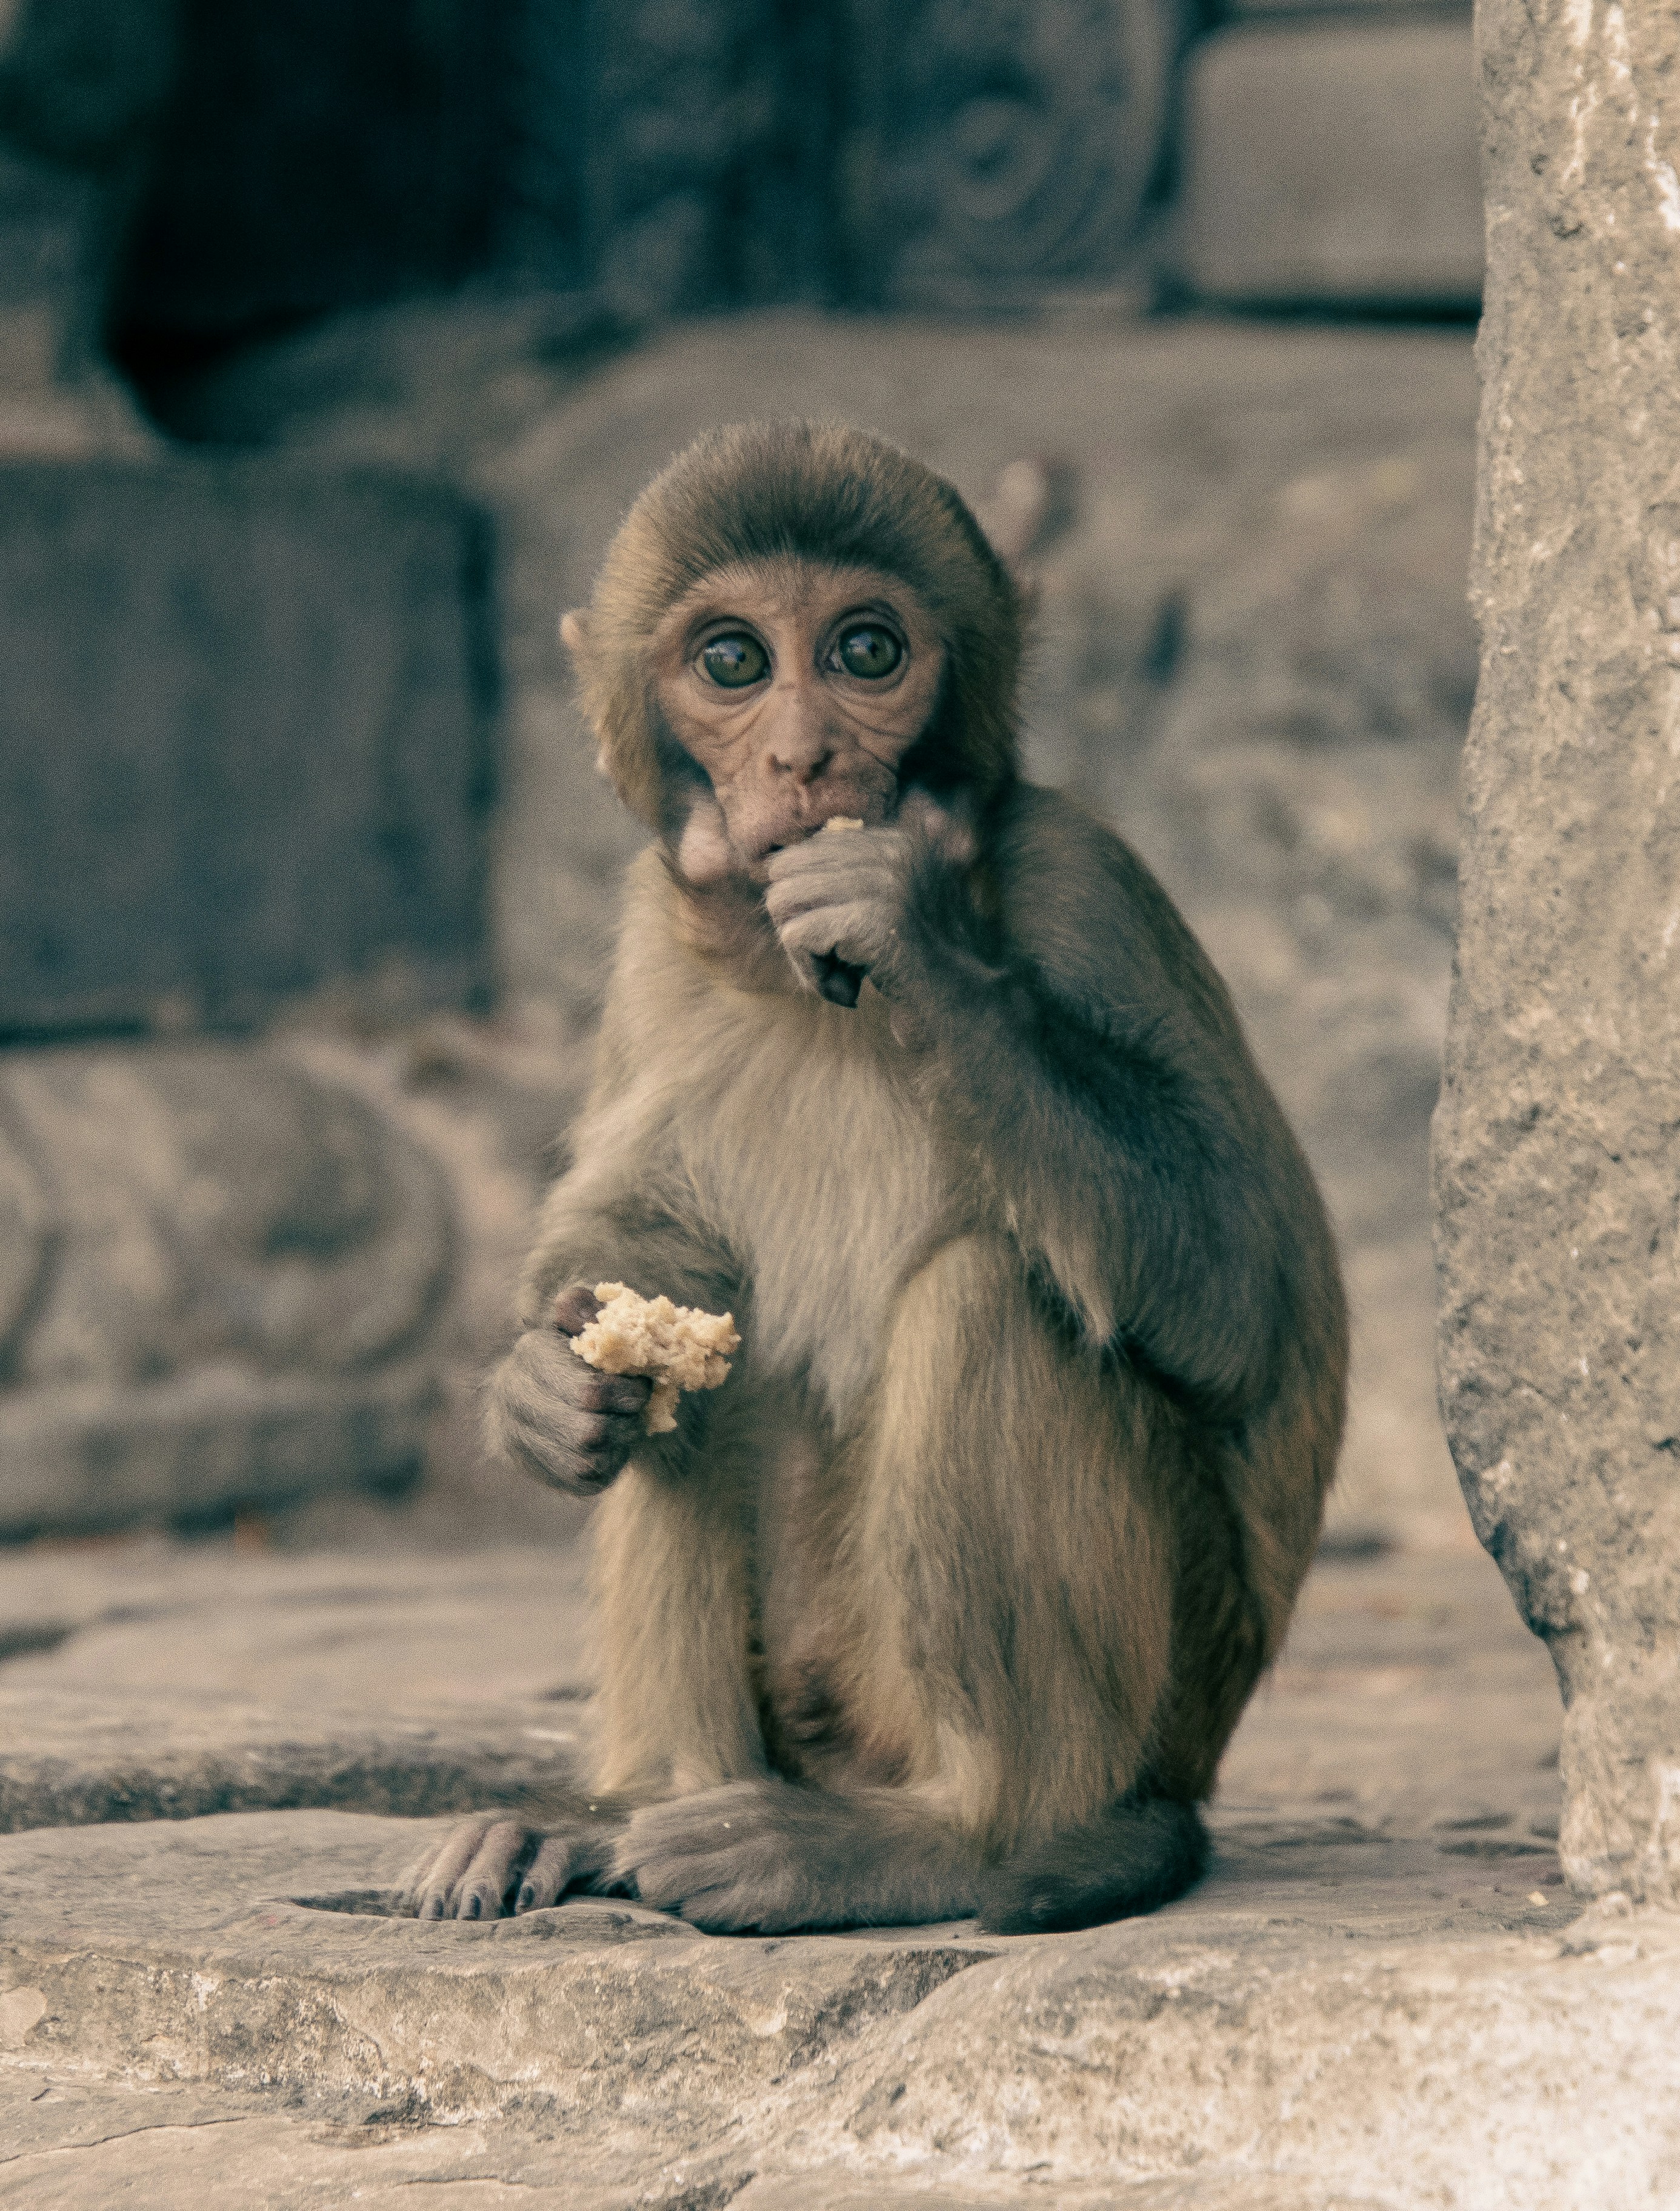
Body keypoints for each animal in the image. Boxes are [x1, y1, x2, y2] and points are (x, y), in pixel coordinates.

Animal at [404, 420, 1347, 1935]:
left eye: (865, 651)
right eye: (734, 661)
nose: (804, 758)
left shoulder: (1084, 877)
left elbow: (1245, 1301)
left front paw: (909, 925)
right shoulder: (653, 928)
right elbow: (637, 1237)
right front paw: (541, 1385)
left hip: (1151, 1688)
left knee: (985, 1300)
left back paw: (957, 1842)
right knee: (691, 1391)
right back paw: (625, 1810)